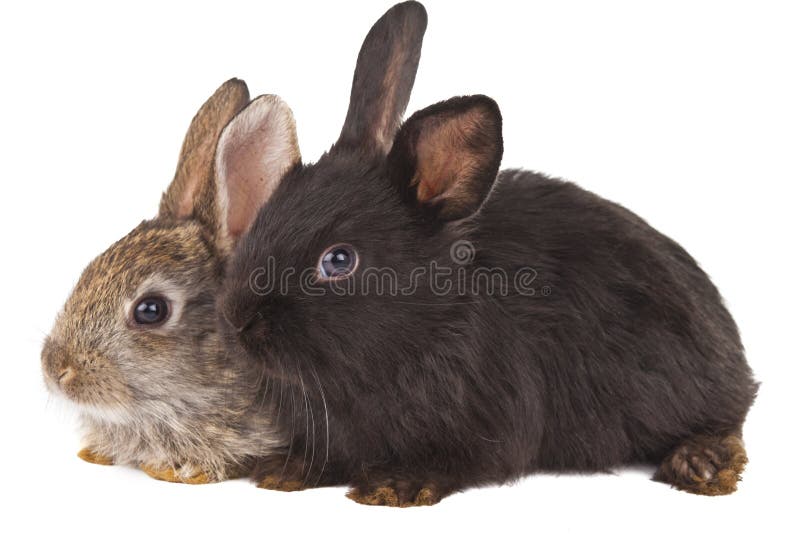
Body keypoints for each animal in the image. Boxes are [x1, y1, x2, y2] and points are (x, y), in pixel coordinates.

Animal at [217, 0, 758, 506]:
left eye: (339, 260)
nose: (239, 318)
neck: (427, 324)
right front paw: (287, 470)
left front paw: (393, 485)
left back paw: (702, 464)